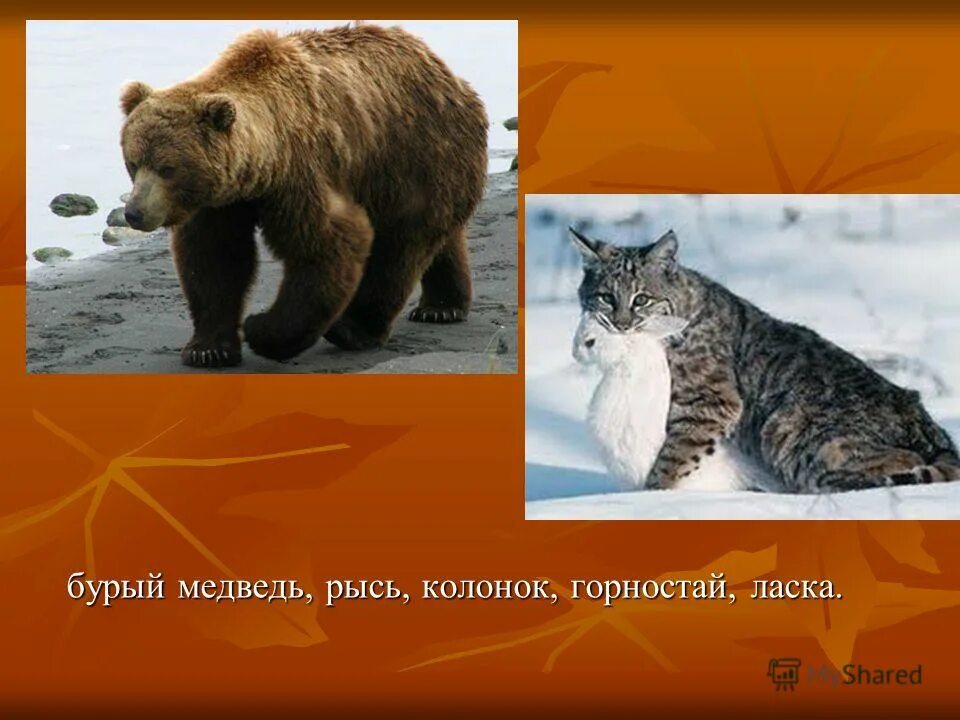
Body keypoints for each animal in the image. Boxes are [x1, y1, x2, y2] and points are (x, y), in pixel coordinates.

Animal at [118, 25, 488, 367]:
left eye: (168, 168)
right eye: (133, 162)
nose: (134, 212)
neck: (260, 169)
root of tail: (449, 75)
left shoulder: (300, 174)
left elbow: (327, 245)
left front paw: (260, 329)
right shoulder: (222, 200)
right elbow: (215, 259)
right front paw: (208, 349)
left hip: (412, 155)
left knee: (400, 247)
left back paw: (355, 328)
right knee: (440, 237)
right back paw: (442, 306)